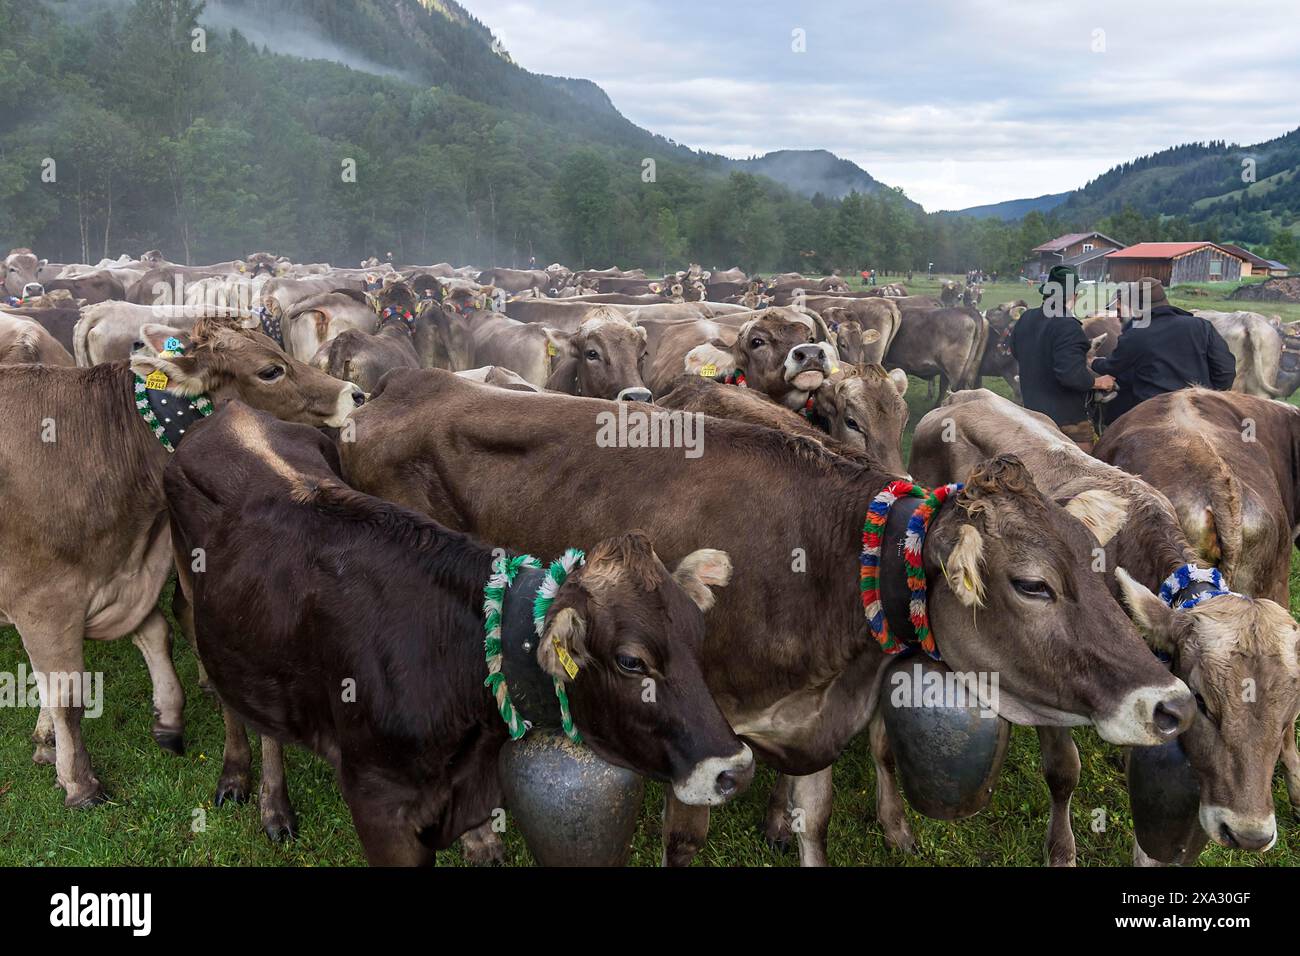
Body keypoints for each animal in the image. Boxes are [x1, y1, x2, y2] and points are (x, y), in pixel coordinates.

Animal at [0, 319, 363, 808]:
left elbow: (156, 633)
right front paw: (78, 783)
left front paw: (168, 718)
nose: (355, 394)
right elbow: (67, 695)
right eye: (270, 370)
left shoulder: (122, 578)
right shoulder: (44, 598)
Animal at [337, 369, 1194, 866]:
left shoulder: (812, 725)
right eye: (1032, 584)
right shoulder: (697, 731)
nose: (1173, 705)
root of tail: (400, 385)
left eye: (1098, 566)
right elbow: (683, 842)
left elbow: (814, 822)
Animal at [912, 388, 1300, 864]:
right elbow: (1063, 771)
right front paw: (1061, 849)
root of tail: (964, 394)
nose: (1249, 833)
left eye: (1289, 712)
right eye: (1204, 702)